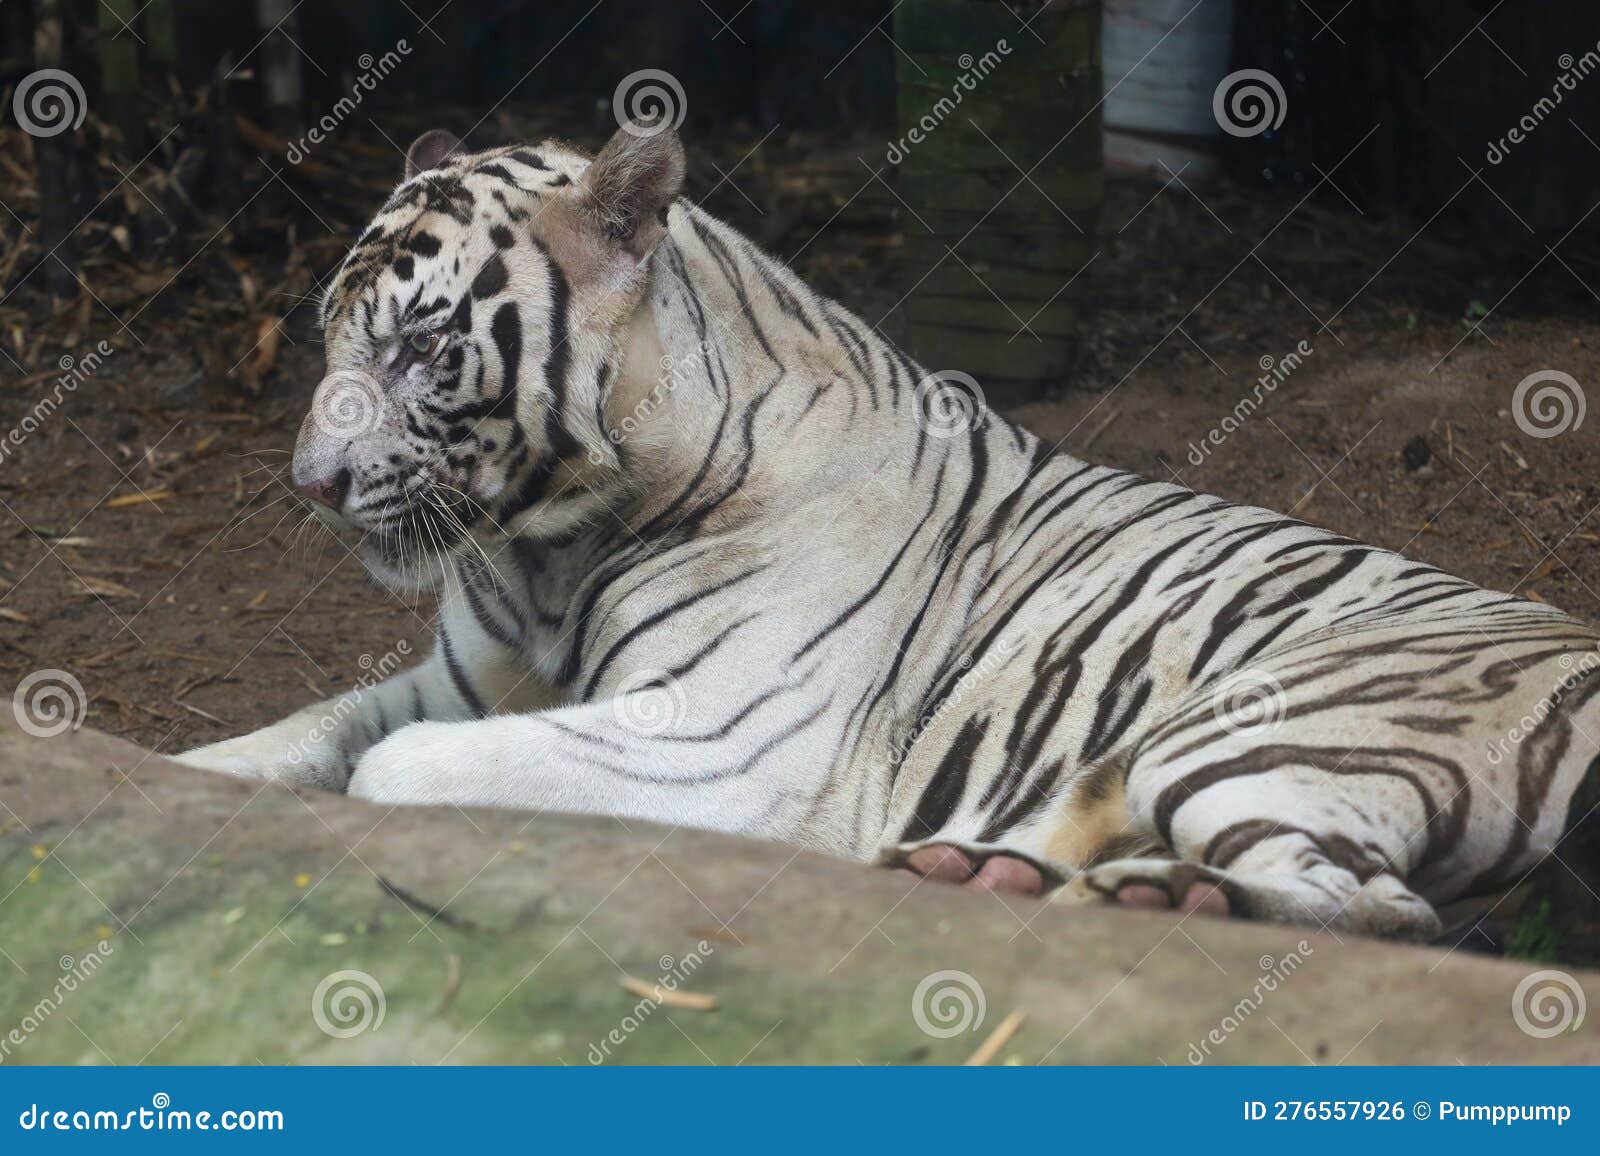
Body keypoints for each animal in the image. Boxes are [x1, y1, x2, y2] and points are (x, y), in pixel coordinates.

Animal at [176, 120, 1600, 942]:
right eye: (328, 333)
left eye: (418, 349)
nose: (309, 482)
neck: (549, 542)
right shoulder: (462, 676)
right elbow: (306, 732)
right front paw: (181, 776)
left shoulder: (720, 742)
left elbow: (393, 768)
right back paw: (997, 876)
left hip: (1248, 731)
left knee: (1381, 908)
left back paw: (1156, 896)